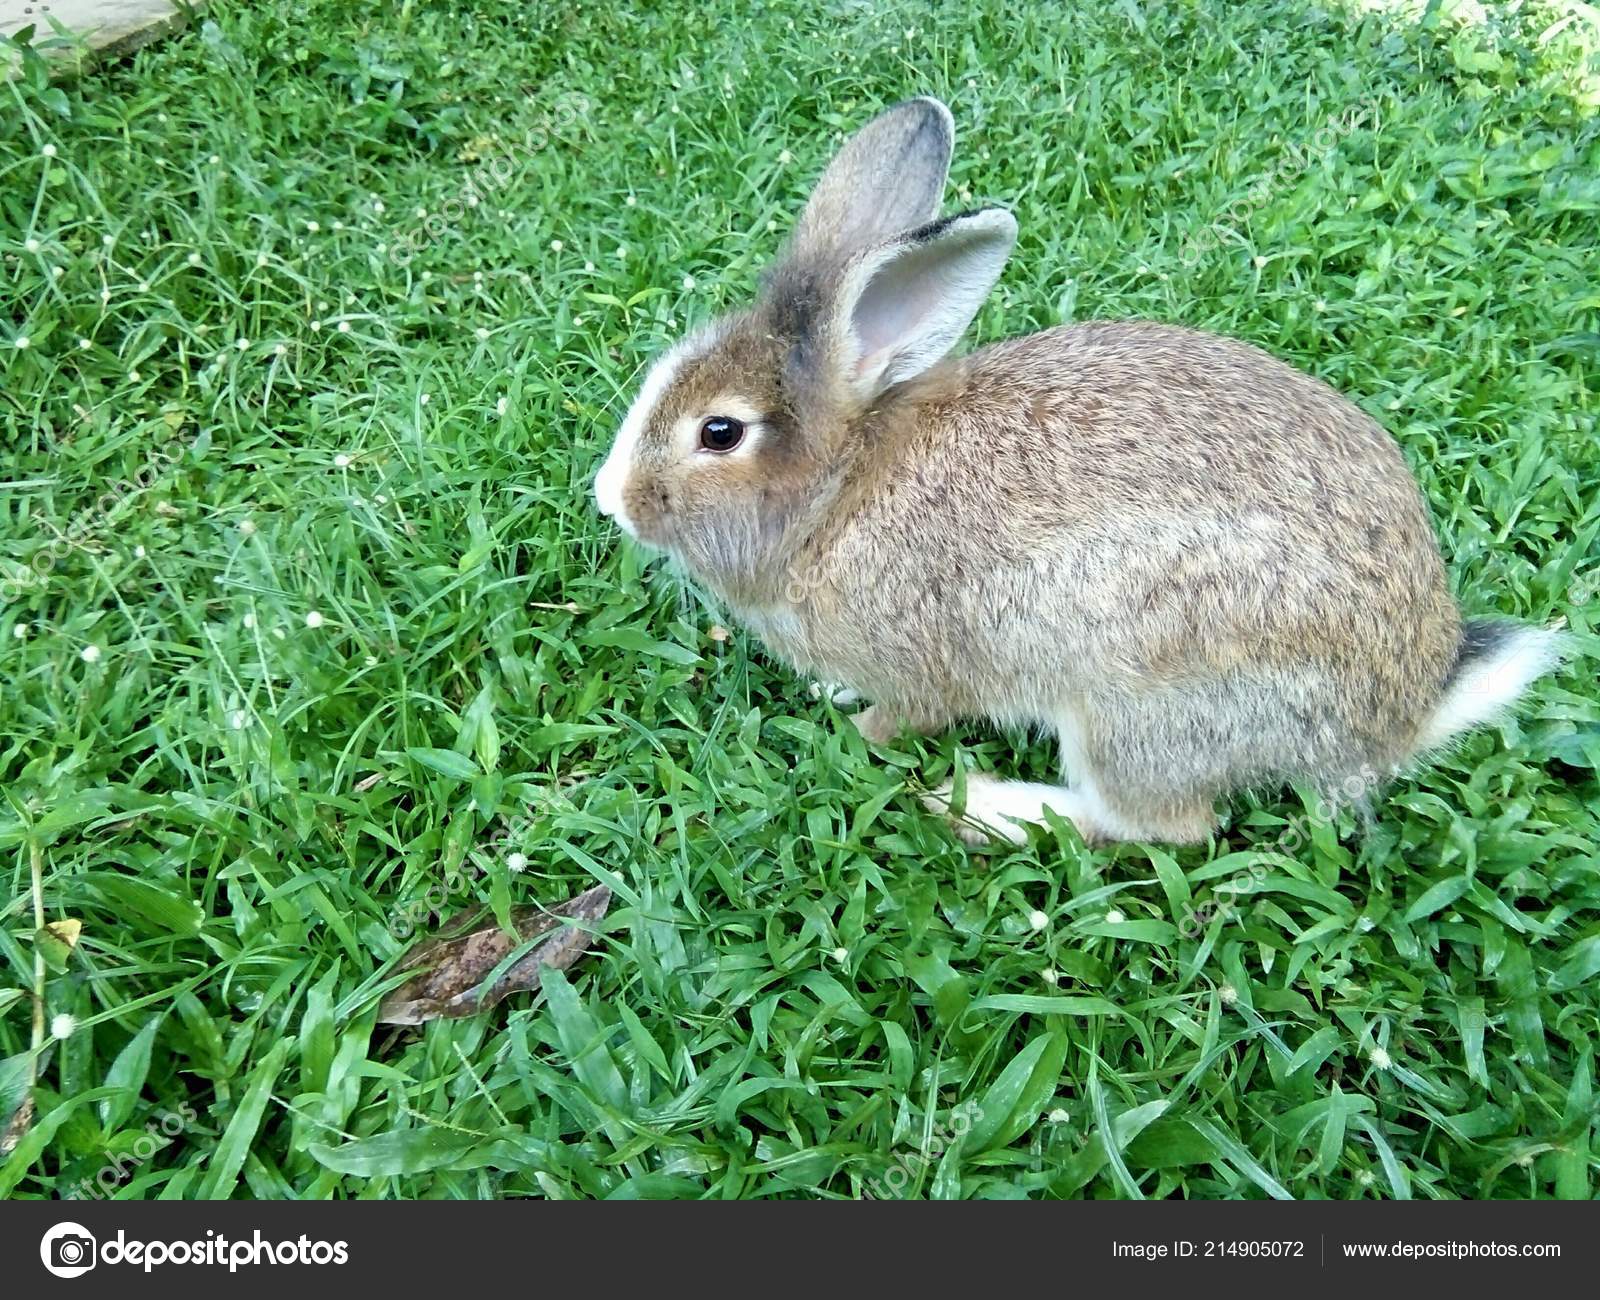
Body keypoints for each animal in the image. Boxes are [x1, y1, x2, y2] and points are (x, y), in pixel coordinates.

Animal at [593, 96, 1566, 847]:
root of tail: (1396, 719)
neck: (837, 495)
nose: (611, 500)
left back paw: (986, 807)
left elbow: (903, 718)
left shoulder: (924, 668)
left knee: (1169, 826)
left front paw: (856, 733)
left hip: (1136, 704)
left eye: (720, 433)